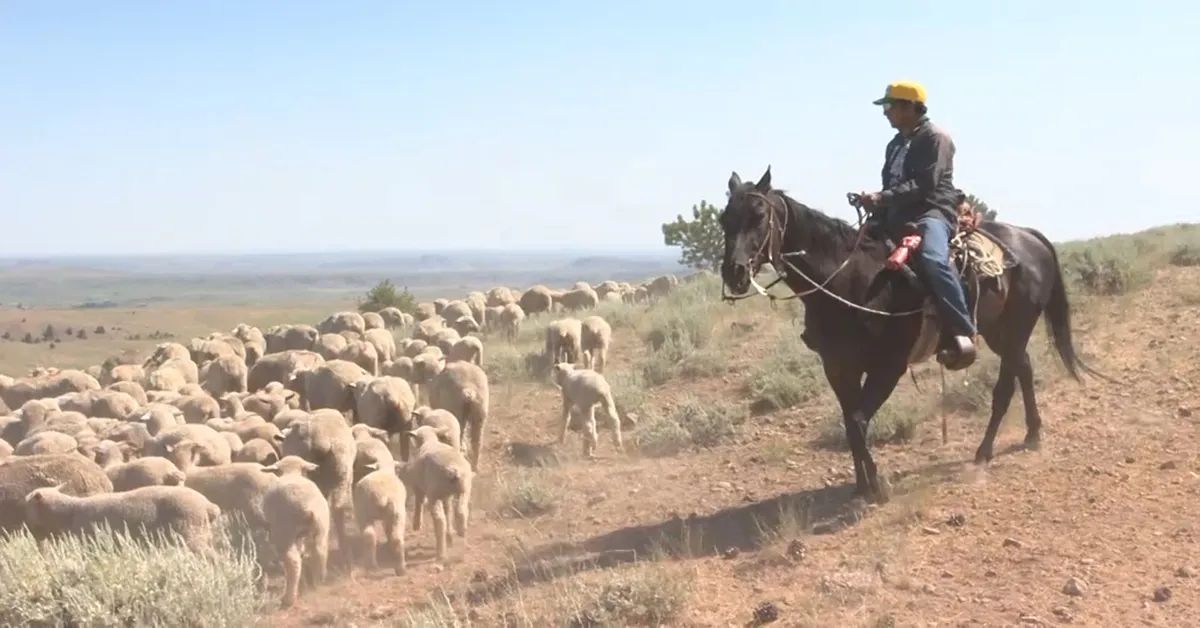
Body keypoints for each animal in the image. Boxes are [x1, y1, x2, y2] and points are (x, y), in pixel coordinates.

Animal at [261, 456, 331, 608]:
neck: (291, 472)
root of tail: (308, 508)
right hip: (321, 529)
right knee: (320, 553)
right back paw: (318, 584)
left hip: (284, 532)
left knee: (293, 562)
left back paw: (288, 598)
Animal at [400, 426, 473, 562]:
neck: (430, 440)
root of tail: (452, 469)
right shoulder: (446, 495)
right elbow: (448, 510)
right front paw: (450, 536)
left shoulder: (418, 486)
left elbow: (419, 502)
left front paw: (416, 524)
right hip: (464, 489)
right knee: (461, 510)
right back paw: (461, 534)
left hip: (434, 494)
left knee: (440, 521)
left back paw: (441, 553)